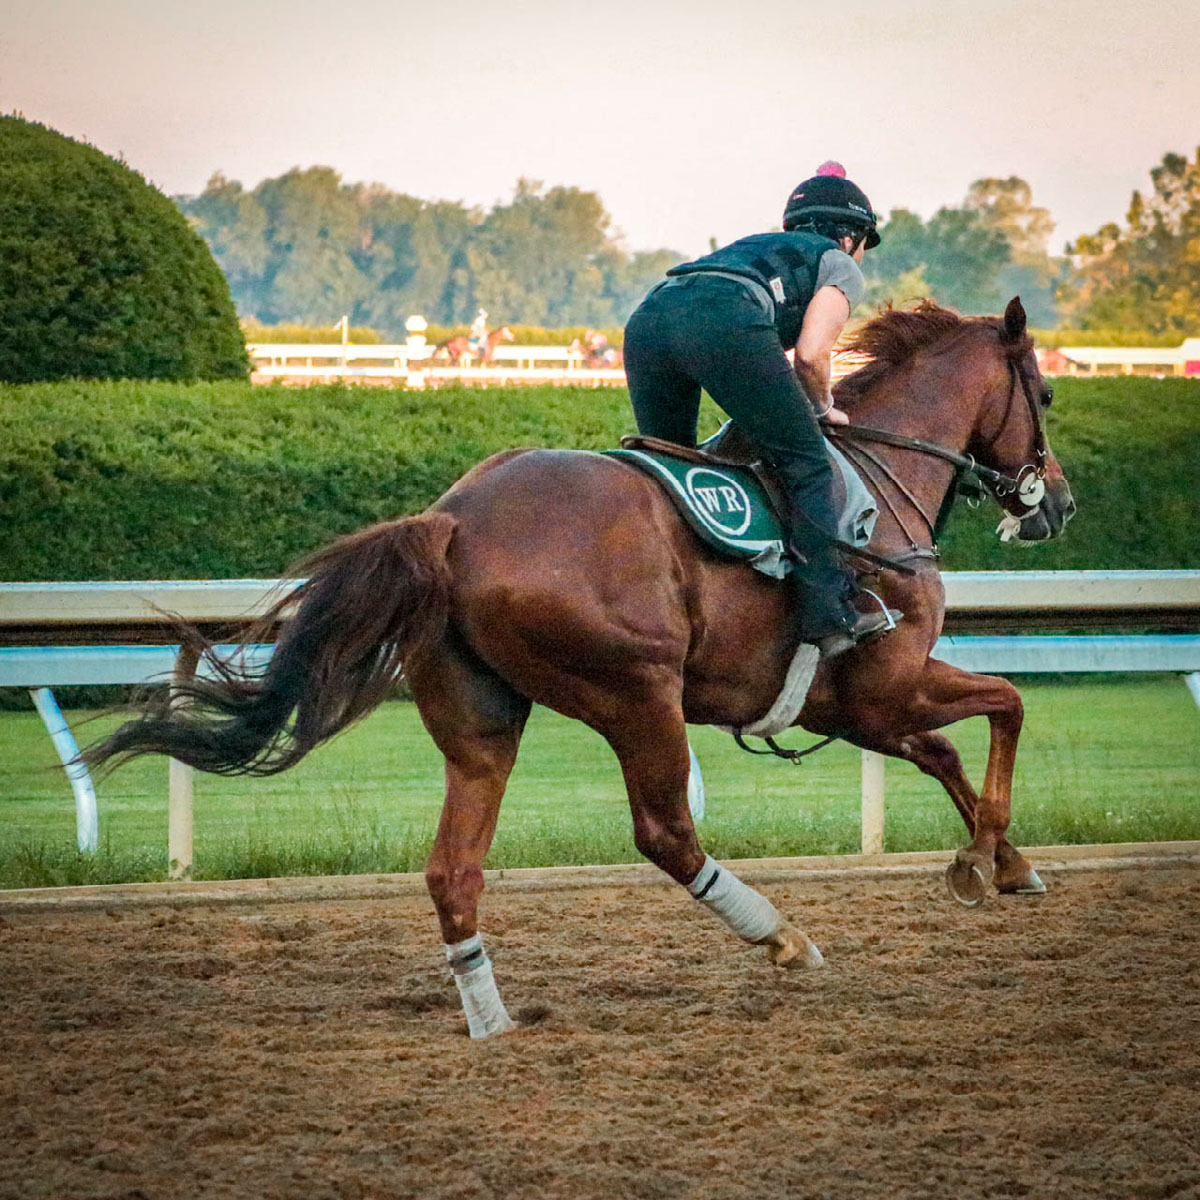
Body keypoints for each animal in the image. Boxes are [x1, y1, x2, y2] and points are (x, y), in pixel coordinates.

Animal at [85, 297, 1075, 1039]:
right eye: (1047, 393)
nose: (1058, 503)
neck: (878, 480)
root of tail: (453, 520)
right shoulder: (884, 685)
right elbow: (1008, 705)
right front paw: (984, 854)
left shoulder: (845, 705)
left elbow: (946, 749)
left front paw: (1007, 863)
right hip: (638, 692)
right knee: (666, 833)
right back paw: (783, 937)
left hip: (480, 721)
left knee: (452, 872)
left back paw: (491, 1021)